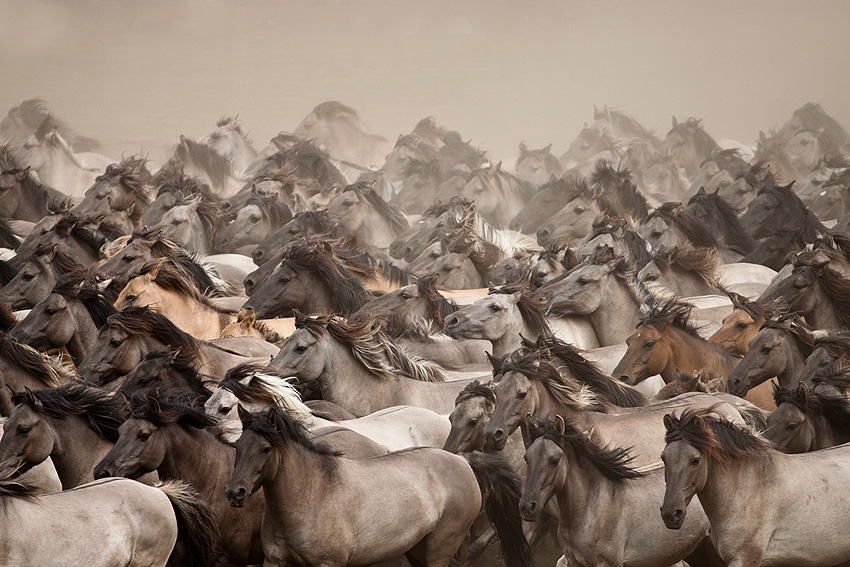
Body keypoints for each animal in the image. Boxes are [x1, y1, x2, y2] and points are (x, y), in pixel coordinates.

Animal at [225, 405, 532, 567]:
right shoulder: (275, 561)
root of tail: (462, 460)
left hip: (441, 547)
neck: (312, 495)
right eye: (237, 445)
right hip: (418, 548)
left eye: (265, 449)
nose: (234, 492)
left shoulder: (329, 564)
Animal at [520, 415, 711, 567]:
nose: (527, 507)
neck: (590, 508)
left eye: (554, 460)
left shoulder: (607, 563)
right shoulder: (573, 561)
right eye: (526, 458)